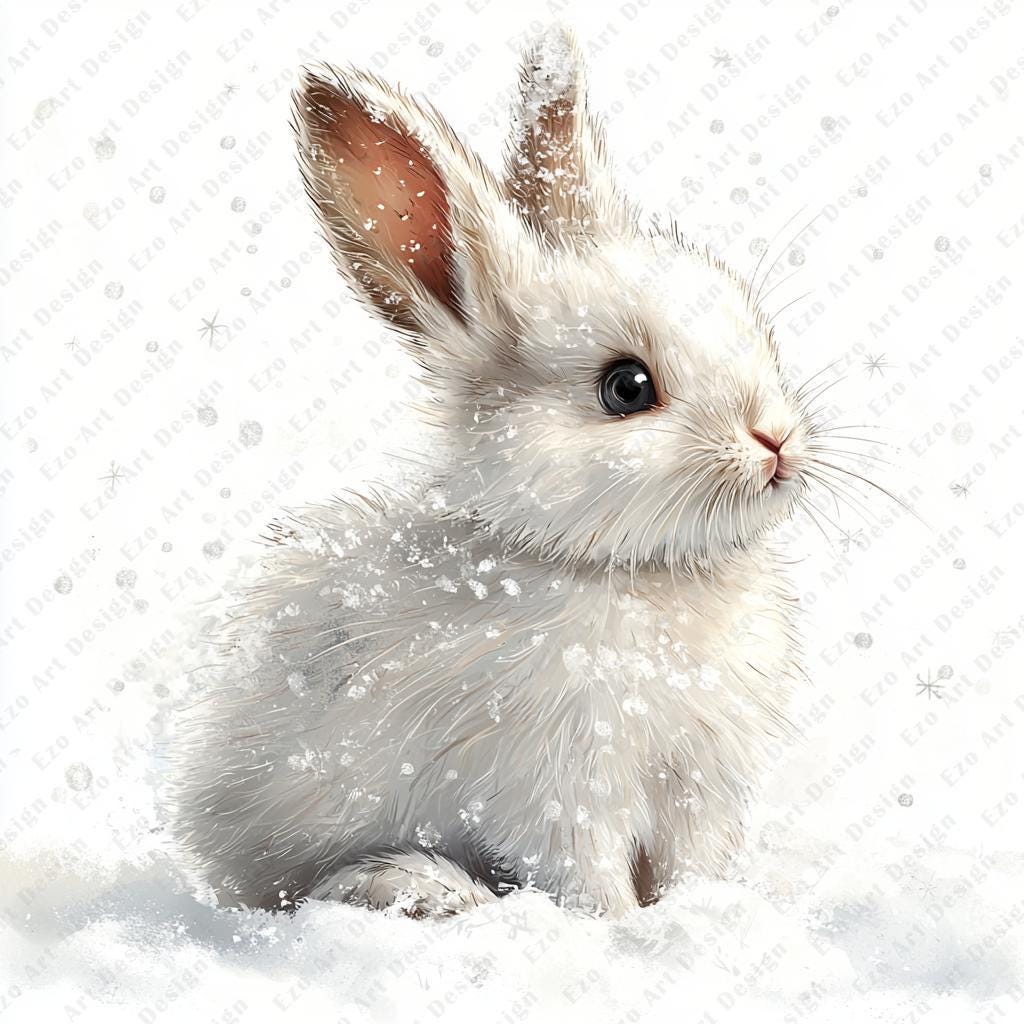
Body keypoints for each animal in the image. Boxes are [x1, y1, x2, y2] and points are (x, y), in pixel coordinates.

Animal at [166, 25, 817, 919]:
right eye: (627, 387)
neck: (634, 572)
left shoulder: (699, 788)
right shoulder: (561, 789)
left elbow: (694, 868)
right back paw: (414, 888)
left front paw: (706, 918)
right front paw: (628, 935)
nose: (776, 441)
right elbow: (590, 880)